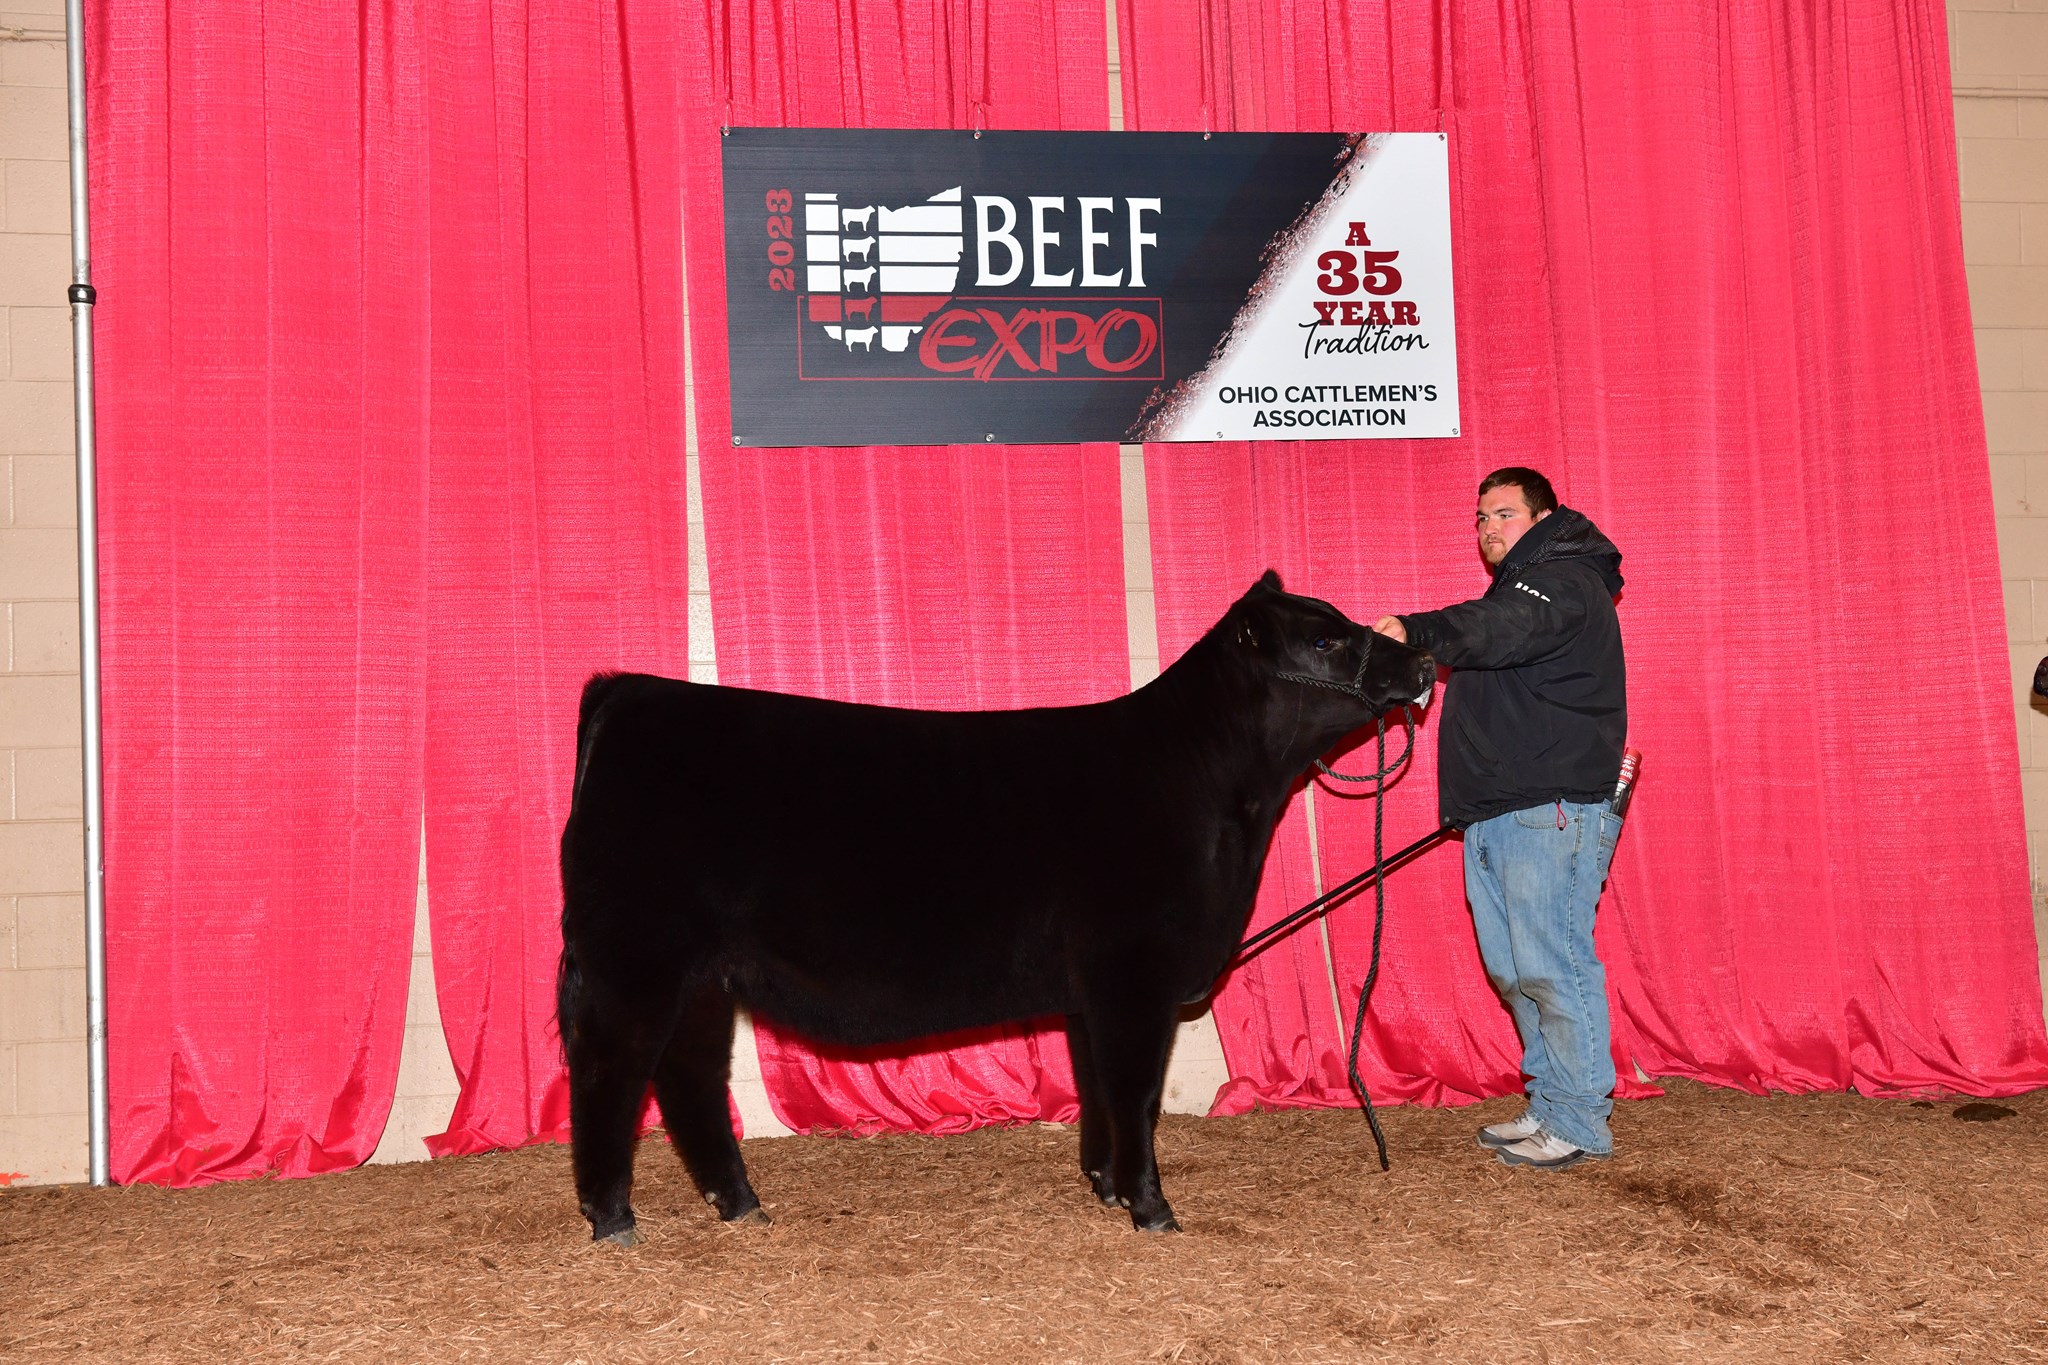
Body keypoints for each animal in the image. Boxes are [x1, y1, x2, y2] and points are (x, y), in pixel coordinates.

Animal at [556, 572, 1436, 1245]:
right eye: (1322, 642)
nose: (1423, 656)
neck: (1216, 792)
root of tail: (628, 693)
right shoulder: (1134, 974)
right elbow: (1136, 1090)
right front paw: (1152, 1206)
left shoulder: (1092, 990)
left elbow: (1098, 1085)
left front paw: (1107, 1186)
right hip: (638, 955)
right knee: (612, 1069)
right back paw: (613, 1219)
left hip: (703, 973)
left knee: (690, 1076)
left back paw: (740, 1205)